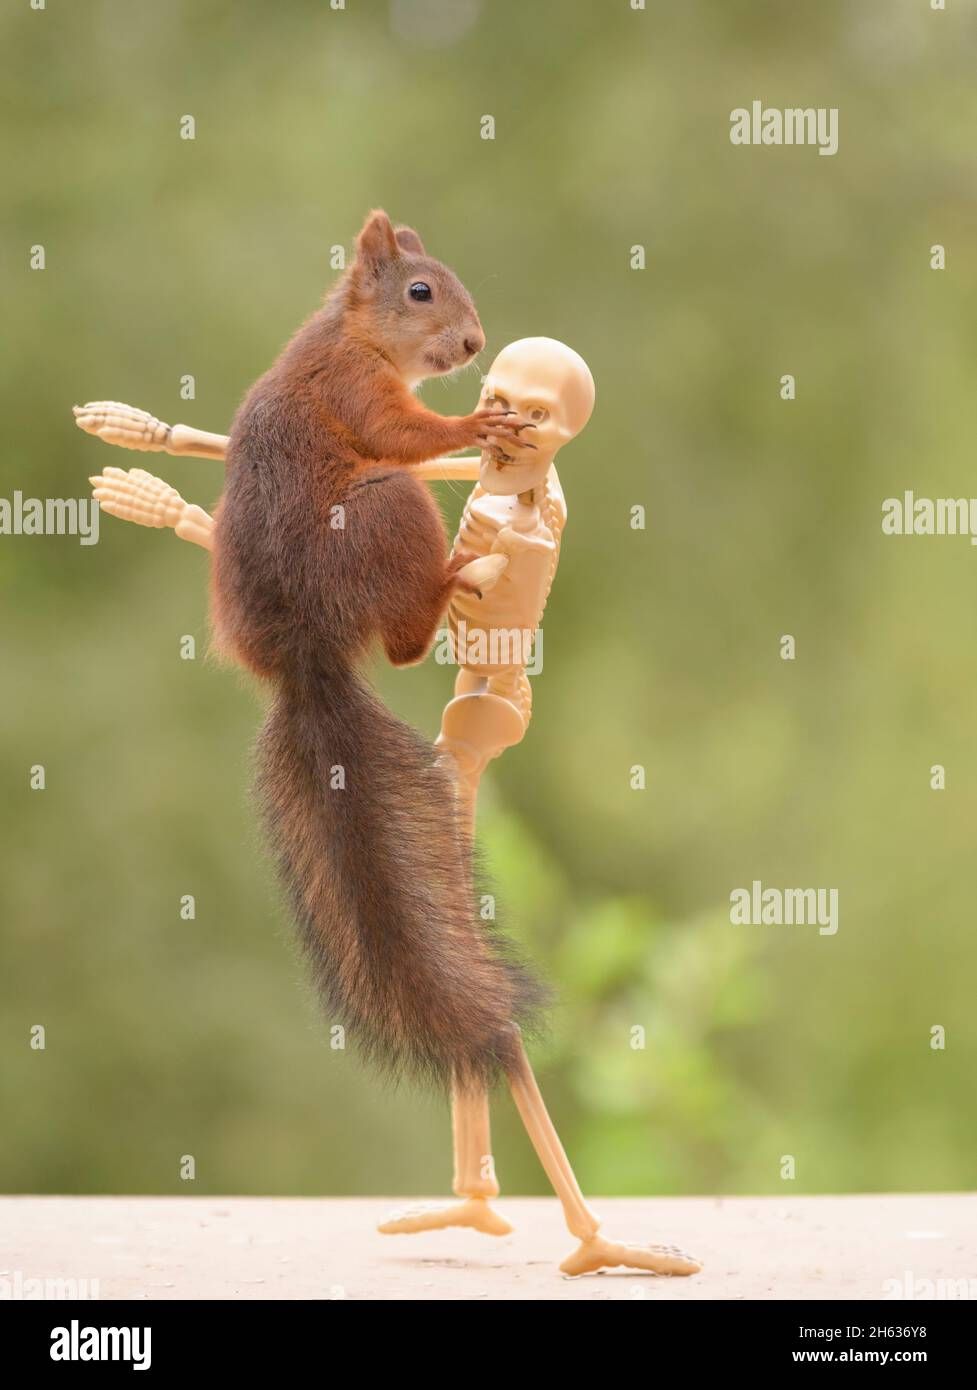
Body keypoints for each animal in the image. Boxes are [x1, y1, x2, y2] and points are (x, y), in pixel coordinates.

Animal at [210, 210, 546, 1088]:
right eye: (420, 290)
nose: (473, 343)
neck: (354, 331)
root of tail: (306, 656)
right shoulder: (351, 385)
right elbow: (398, 431)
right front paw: (473, 428)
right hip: (390, 509)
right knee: (401, 644)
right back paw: (455, 576)